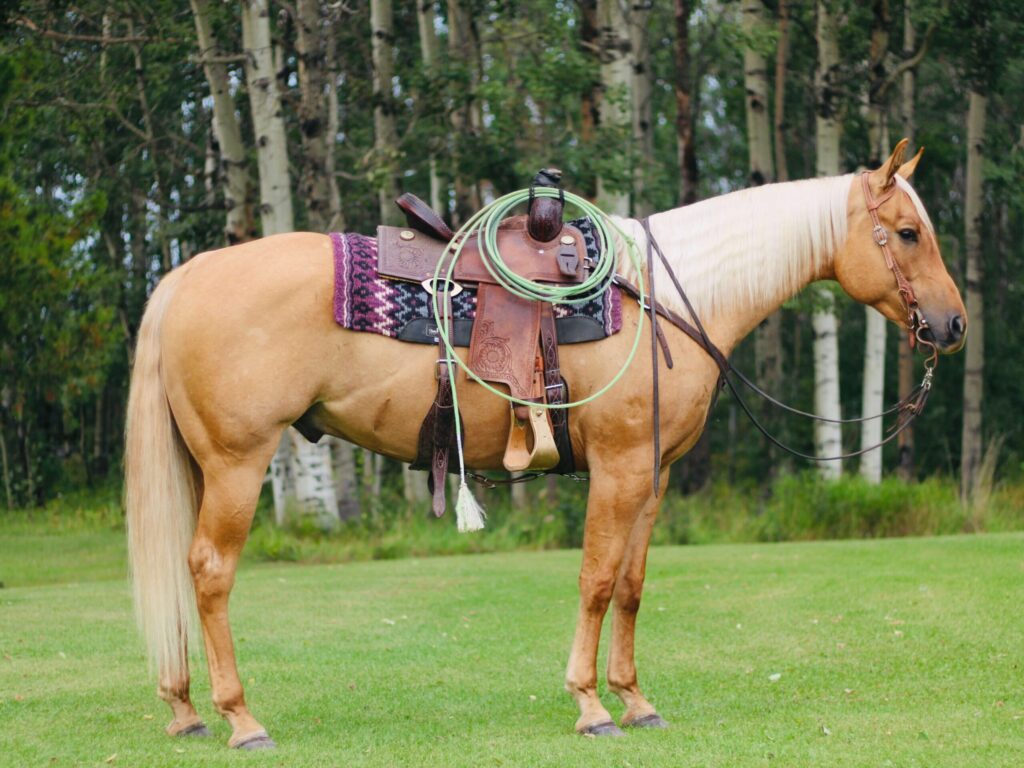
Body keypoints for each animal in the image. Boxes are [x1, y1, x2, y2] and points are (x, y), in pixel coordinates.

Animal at [125, 140, 966, 749]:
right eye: (908, 233)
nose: (953, 325)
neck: (666, 296)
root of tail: (187, 276)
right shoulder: (618, 470)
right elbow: (595, 581)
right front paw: (591, 707)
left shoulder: (651, 475)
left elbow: (630, 586)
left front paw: (636, 700)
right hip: (238, 465)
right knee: (210, 573)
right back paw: (240, 719)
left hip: (201, 468)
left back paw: (183, 710)